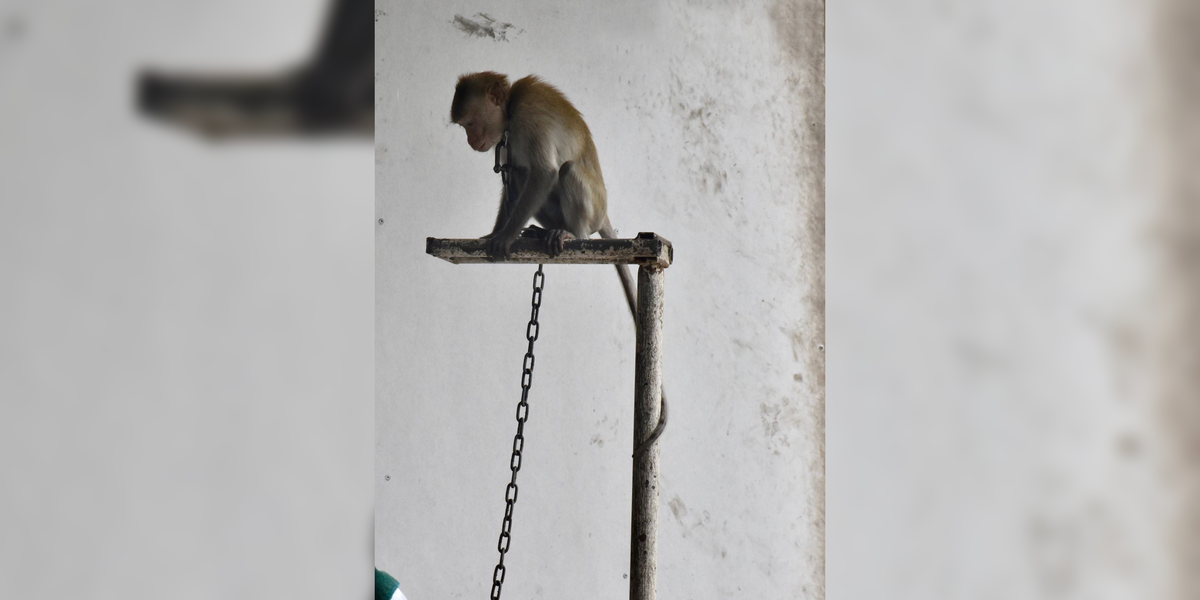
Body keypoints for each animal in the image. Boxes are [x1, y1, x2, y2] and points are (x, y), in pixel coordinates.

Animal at [450, 71, 666, 457]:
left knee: (565, 171)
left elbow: (545, 171)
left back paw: (567, 233)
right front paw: (494, 232)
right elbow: (516, 176)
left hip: (591, 206)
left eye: (470, 124)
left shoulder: (527, 119)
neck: (508, 112)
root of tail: (604, 213)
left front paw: (505, 236)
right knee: (519, 173)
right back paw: (539, 231)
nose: (471, 141)